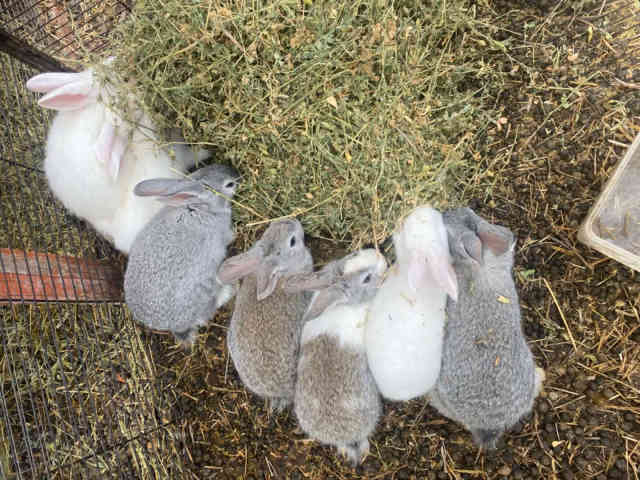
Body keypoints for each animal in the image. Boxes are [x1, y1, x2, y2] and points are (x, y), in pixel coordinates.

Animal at [123, 164, 239, 345]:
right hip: (206, 289)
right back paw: (231, 288)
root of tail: (174, 327)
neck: (199, 208)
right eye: (229, 185)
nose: (235, 172)